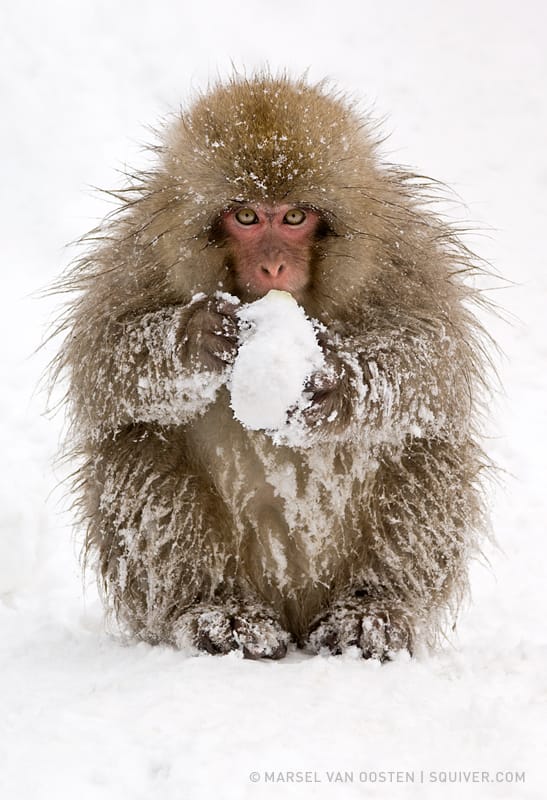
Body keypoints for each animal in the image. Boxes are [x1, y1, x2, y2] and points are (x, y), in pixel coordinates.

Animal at [51, 73, 492, 661]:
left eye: (295, 217)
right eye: (246, 217)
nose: (274, 265)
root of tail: (295, 610)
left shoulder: (403, 255)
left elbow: (433, 361)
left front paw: (335, 387)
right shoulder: (141, 254)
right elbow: (104, 360)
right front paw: (196, 338)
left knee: (427, 450)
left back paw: (370, 609)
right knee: (137, 444)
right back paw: (217, 609)